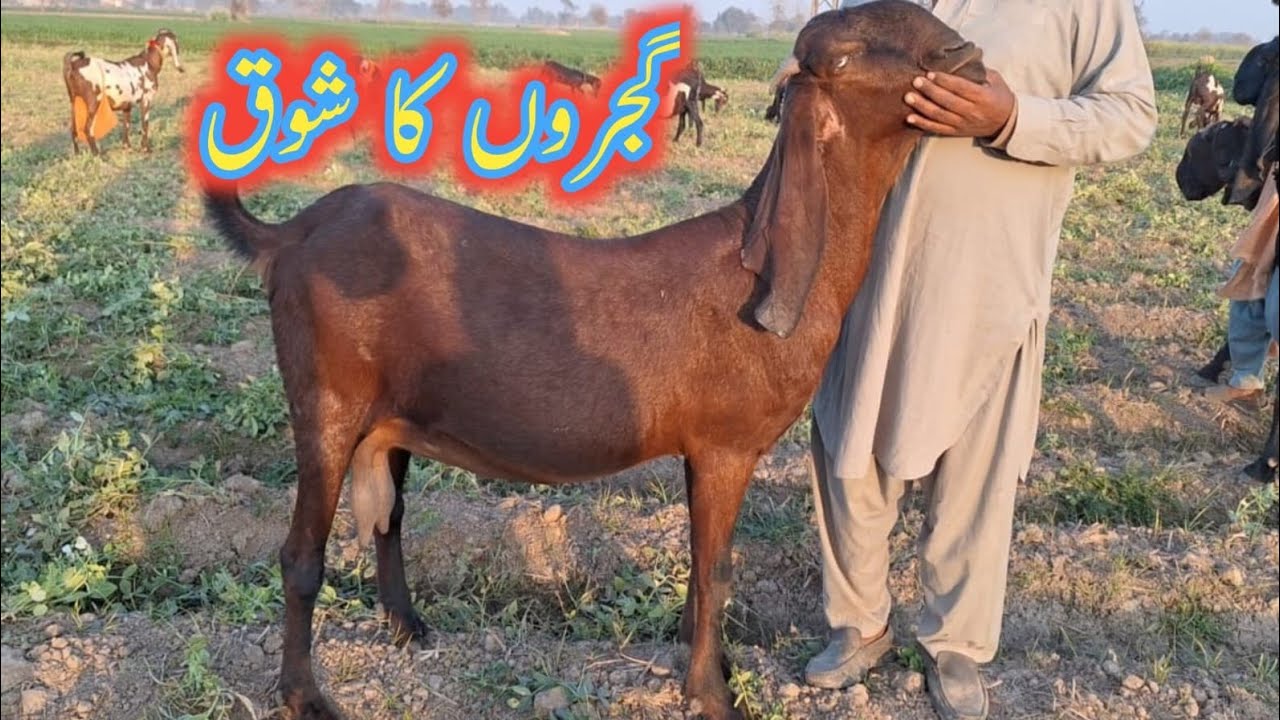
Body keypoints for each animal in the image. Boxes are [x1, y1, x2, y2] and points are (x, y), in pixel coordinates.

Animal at [201, 5, 988, 719]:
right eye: (848, 52)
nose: (968, 54)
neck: (756, 264)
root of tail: (291, 235)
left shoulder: (702, 452)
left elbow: (702, 566)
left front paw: (709, 664)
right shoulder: (724, 446)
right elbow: (715, 570)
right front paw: (711, 695)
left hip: (389, 419)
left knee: (388, 519)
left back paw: (410, 628)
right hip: (326, 402)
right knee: (301, 556)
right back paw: (304, 696)